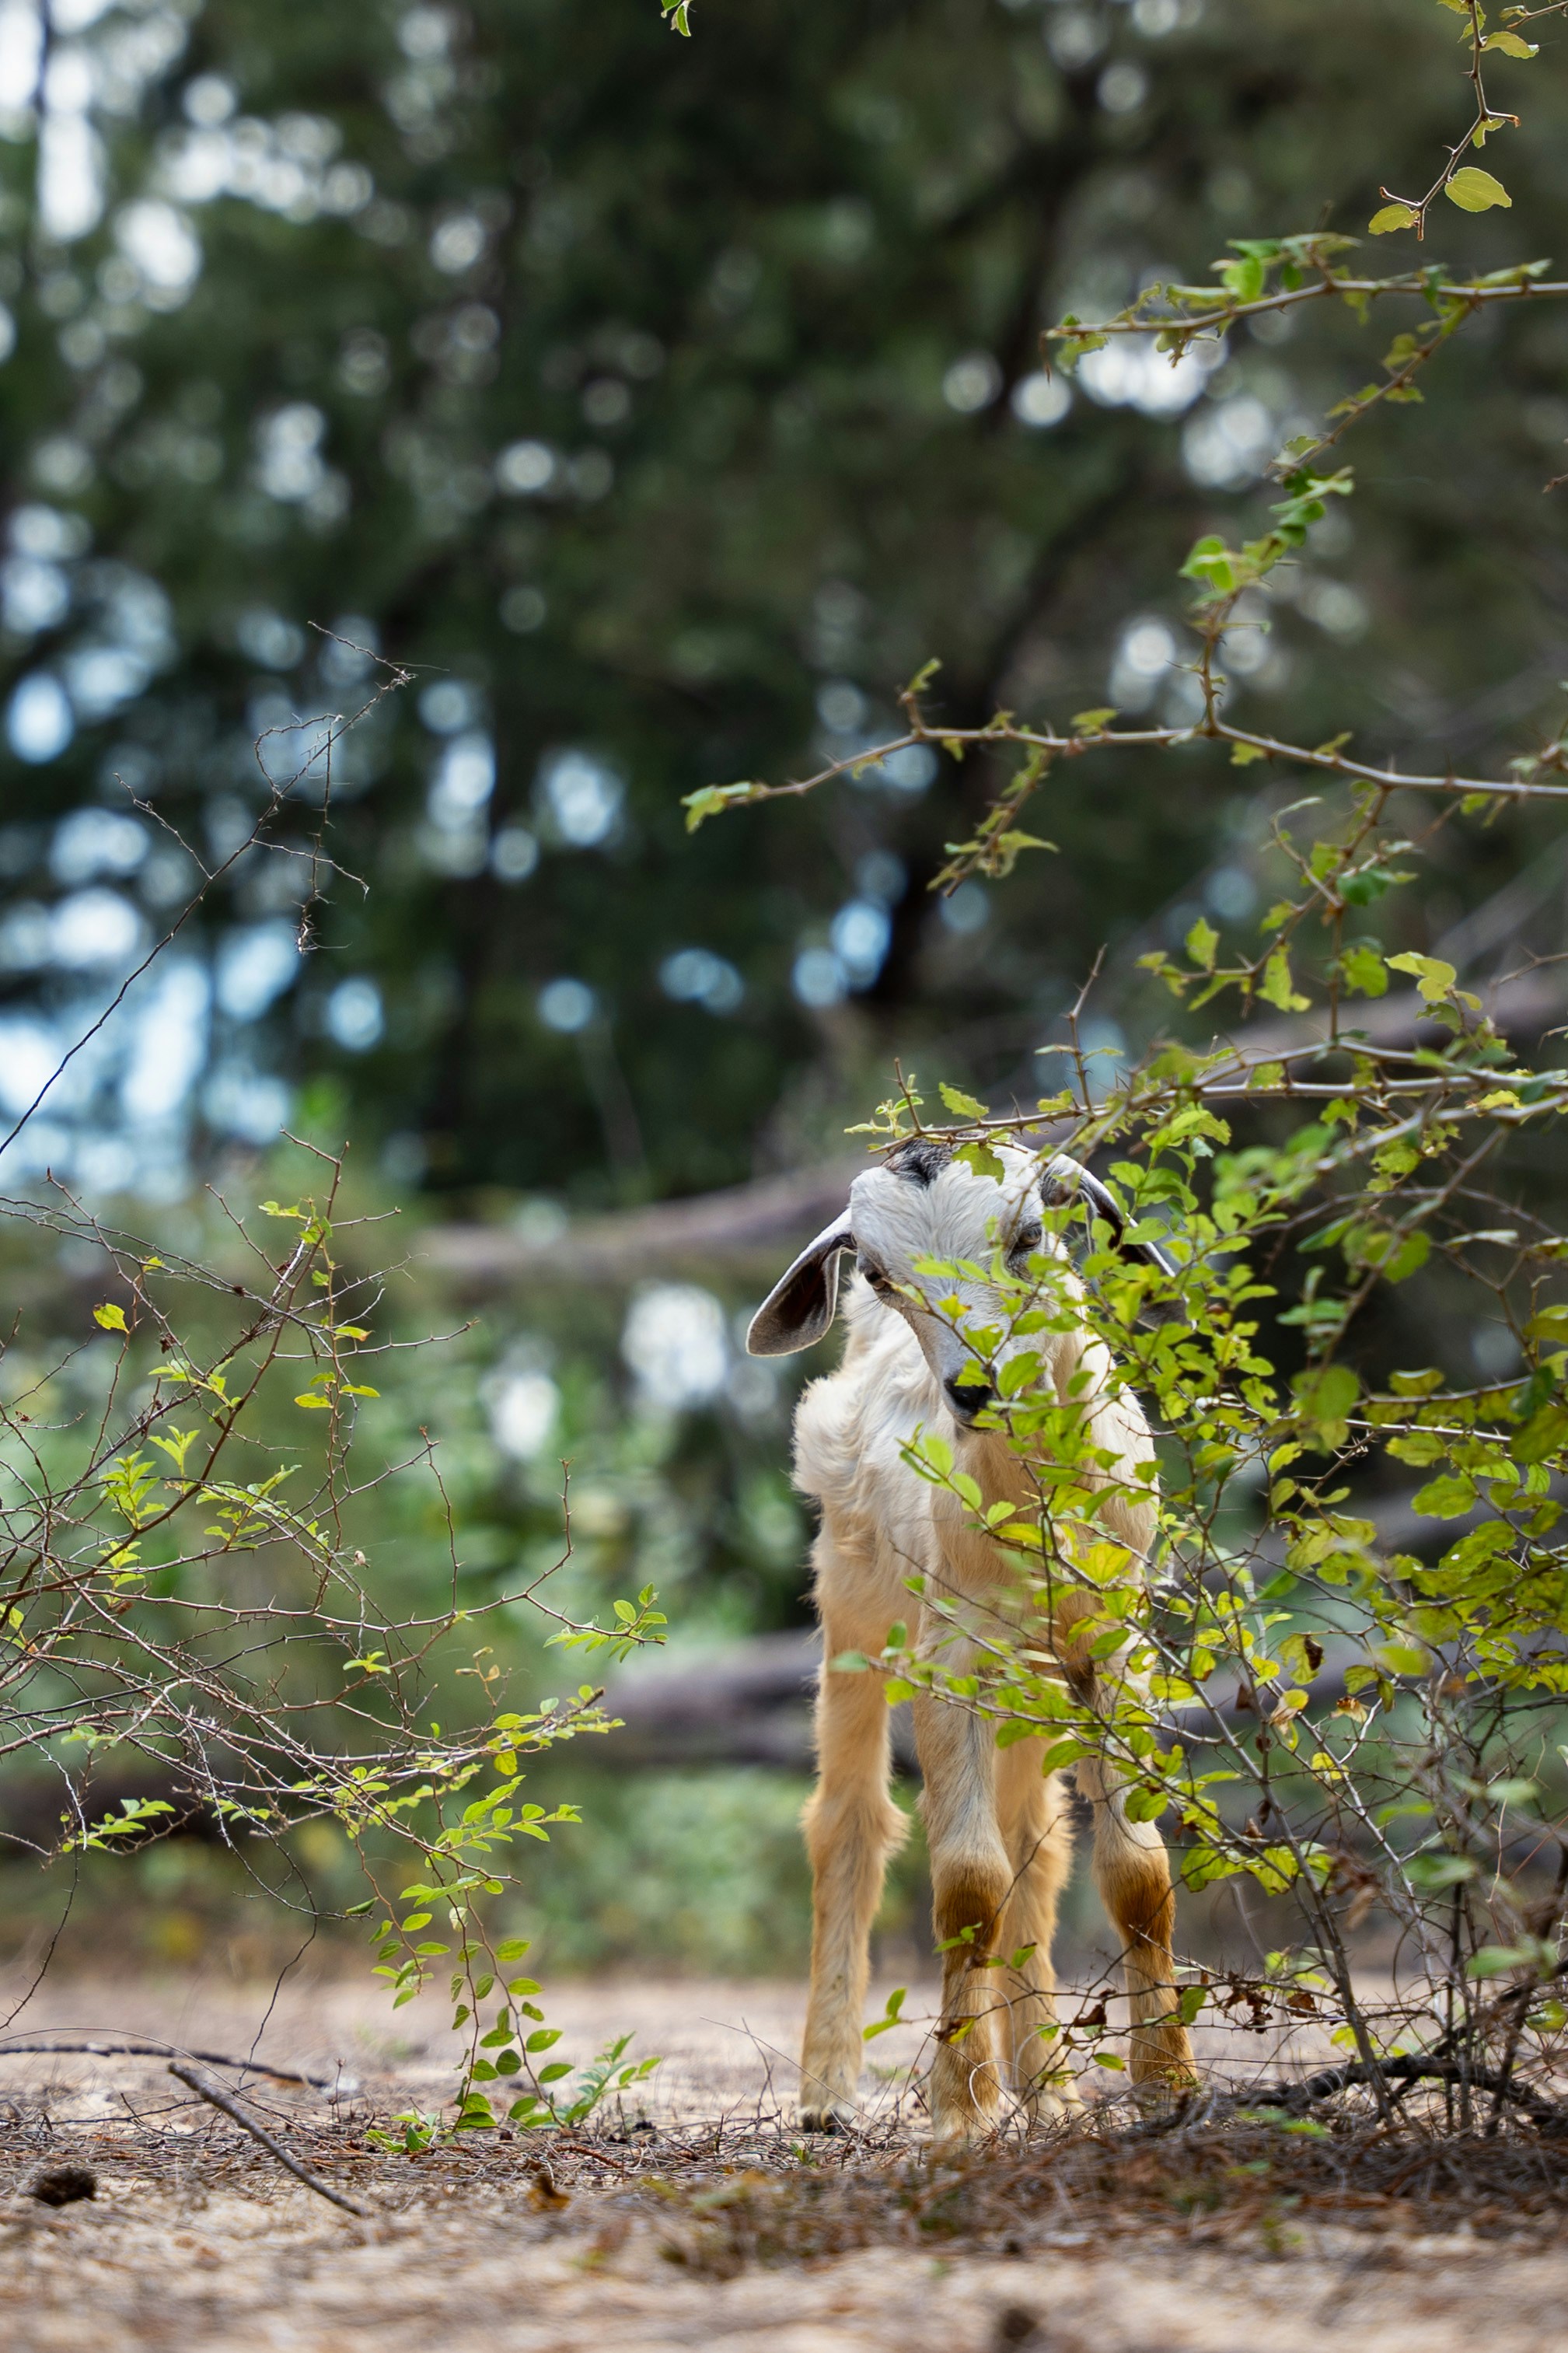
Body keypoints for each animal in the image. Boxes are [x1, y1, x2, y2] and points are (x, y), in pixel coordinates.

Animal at [747, 1137, 1195, 2139]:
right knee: (849, 1822)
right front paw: (959, 2107)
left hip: (1031, 1682)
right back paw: (830, 2090)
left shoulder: (1117, 1645)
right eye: (880, 1271)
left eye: (1028, 1235)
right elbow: (966, 1885)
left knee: (1035, 1838)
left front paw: (1169, 2087)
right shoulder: (951, 1657)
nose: (976, 1387)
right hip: (855, 1619)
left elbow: (1135, 1873)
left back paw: (1051, 2087)